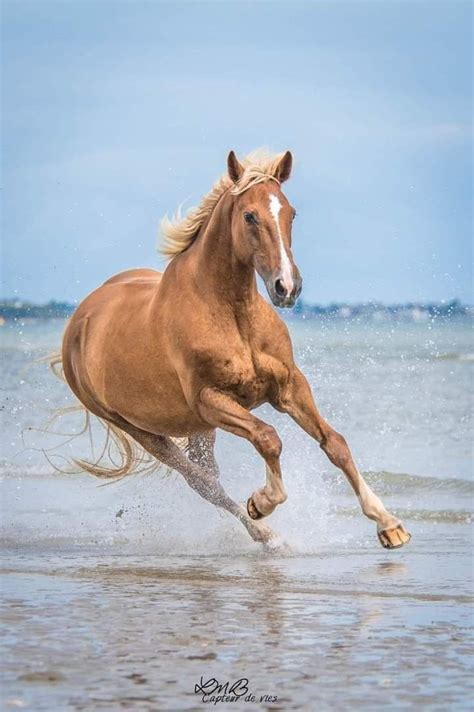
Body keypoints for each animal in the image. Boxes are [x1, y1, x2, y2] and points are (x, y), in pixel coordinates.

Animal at [57, 149, 411, 550]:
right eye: (249, 216)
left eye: (291, 213)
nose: (287, 287)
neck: (232, 315)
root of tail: (81, 319)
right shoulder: (211, 400)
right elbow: (268, 439)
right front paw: (263, 501)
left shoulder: (290, 386)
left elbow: (334, 443)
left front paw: (388, 524)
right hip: (143, 430)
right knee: (202, 483)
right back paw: (265, 533)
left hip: (197, 428)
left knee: (209, 473)